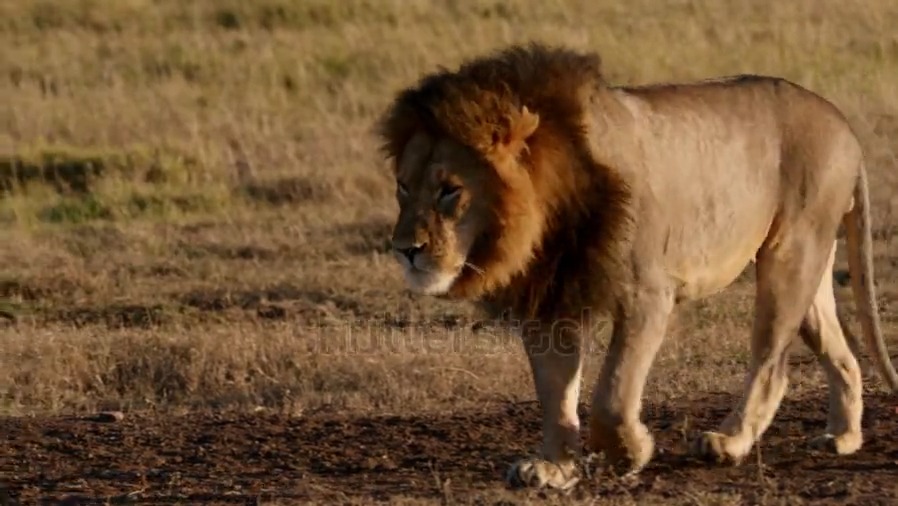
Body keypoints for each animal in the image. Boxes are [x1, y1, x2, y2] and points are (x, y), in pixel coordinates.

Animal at [375, 43, 898, 490]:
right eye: (402, 186)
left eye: (450, 190)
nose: (404, 249)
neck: (549, 212)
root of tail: (842, 123)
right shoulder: (552, 299)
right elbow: (555, 392)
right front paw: (553, 466)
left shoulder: (647, 294)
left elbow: (612, 391)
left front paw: (628, 453)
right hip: (811, 265)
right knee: (843, 353)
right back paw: (843, 437)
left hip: (790, 253)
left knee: (772, 362)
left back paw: (728, 443)